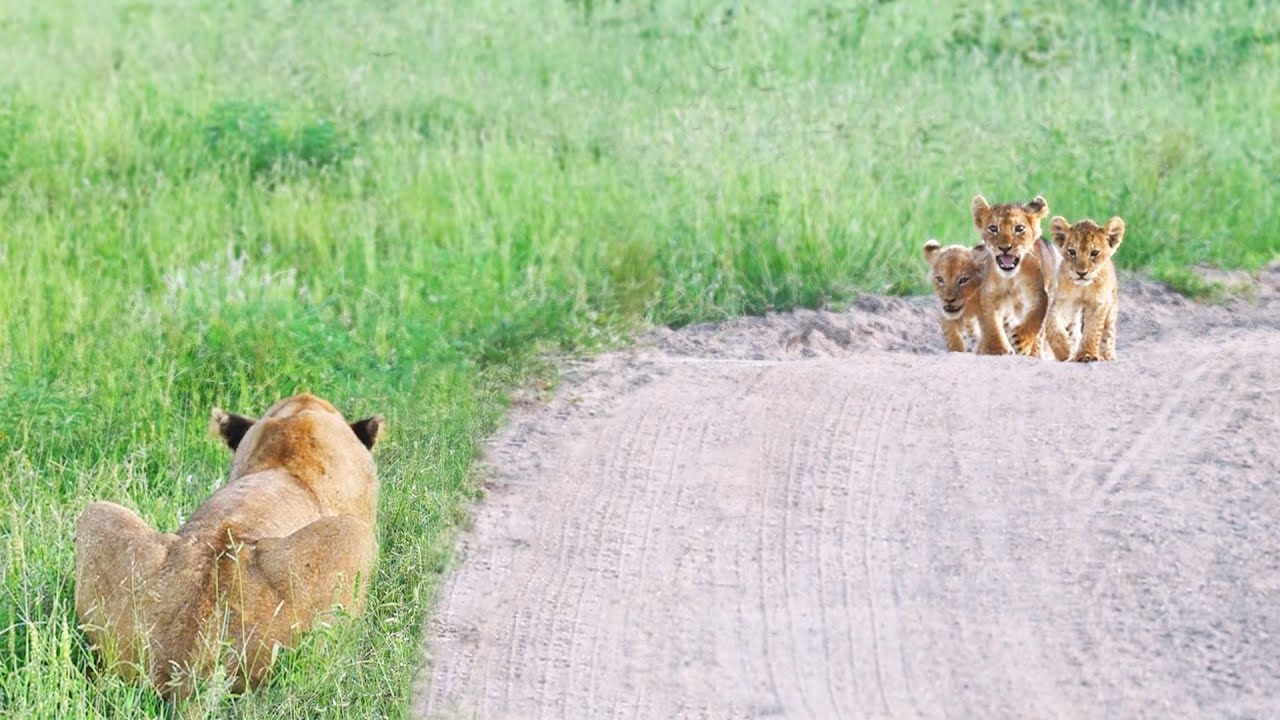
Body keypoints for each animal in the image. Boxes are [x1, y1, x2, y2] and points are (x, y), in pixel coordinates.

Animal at [970, 194, 1056, 356]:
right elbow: (992, 323)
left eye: (1019, 228)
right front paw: (996, 348)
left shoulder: (1038, 294)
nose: (1005, 248)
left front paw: (1022, 341)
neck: (1011, 277)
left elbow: (1035, 316)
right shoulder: (990, 294)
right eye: (993, 228)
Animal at [1044, 215, 1126, 362]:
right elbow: (1051, 323)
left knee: (1108, 335)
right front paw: (1063, 350)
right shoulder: (1064, 302)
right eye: (1072, 252)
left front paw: (1087, 354)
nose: (1081, 273)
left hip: (1111, 310)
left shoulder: (1099, 304)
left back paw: (1107, 356)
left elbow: (1093, 330)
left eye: (1094, 253)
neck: (1083, 288)